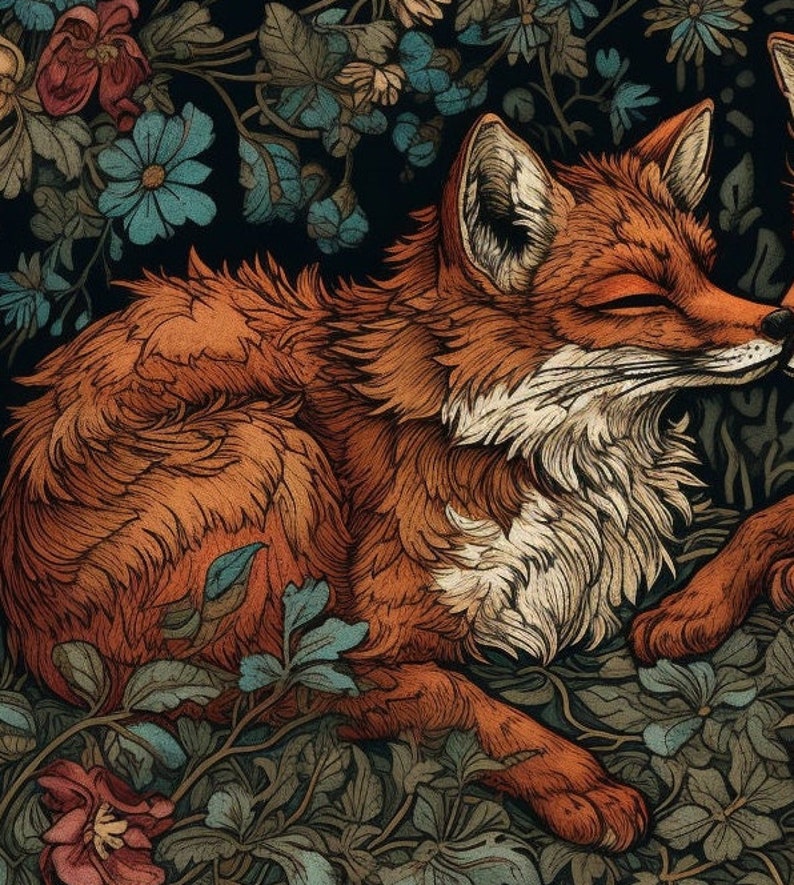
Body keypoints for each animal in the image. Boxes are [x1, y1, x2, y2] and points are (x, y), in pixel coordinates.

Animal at [2, 95, 794, 853]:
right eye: (639, 298)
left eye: (706, 267)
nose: (782, 324)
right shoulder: (354, 642)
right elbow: (458, 697)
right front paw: (578, 781)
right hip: (277, 451)